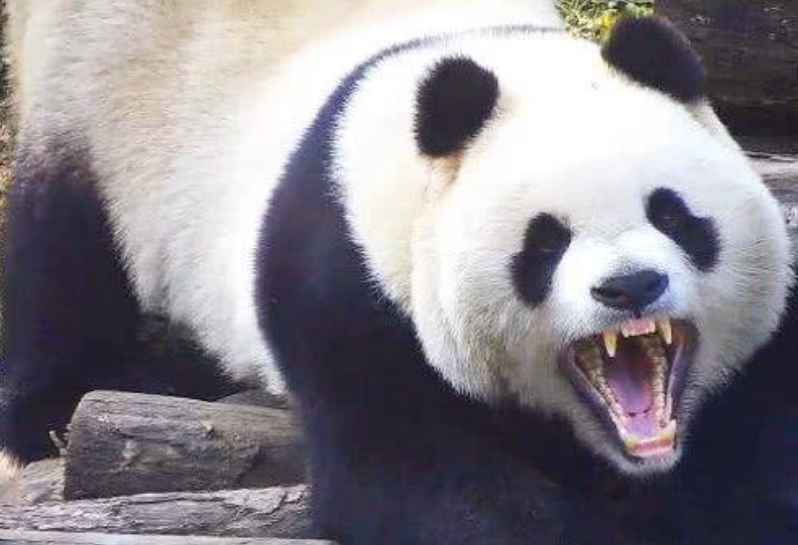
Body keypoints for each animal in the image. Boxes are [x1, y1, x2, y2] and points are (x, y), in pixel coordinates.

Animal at [3, 0, 798, 543]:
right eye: (544, 244)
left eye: (673, 215)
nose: (629, 287)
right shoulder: (346, 285)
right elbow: (410, 482)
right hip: (91, 92)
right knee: (62, 250)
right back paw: (53, 413)